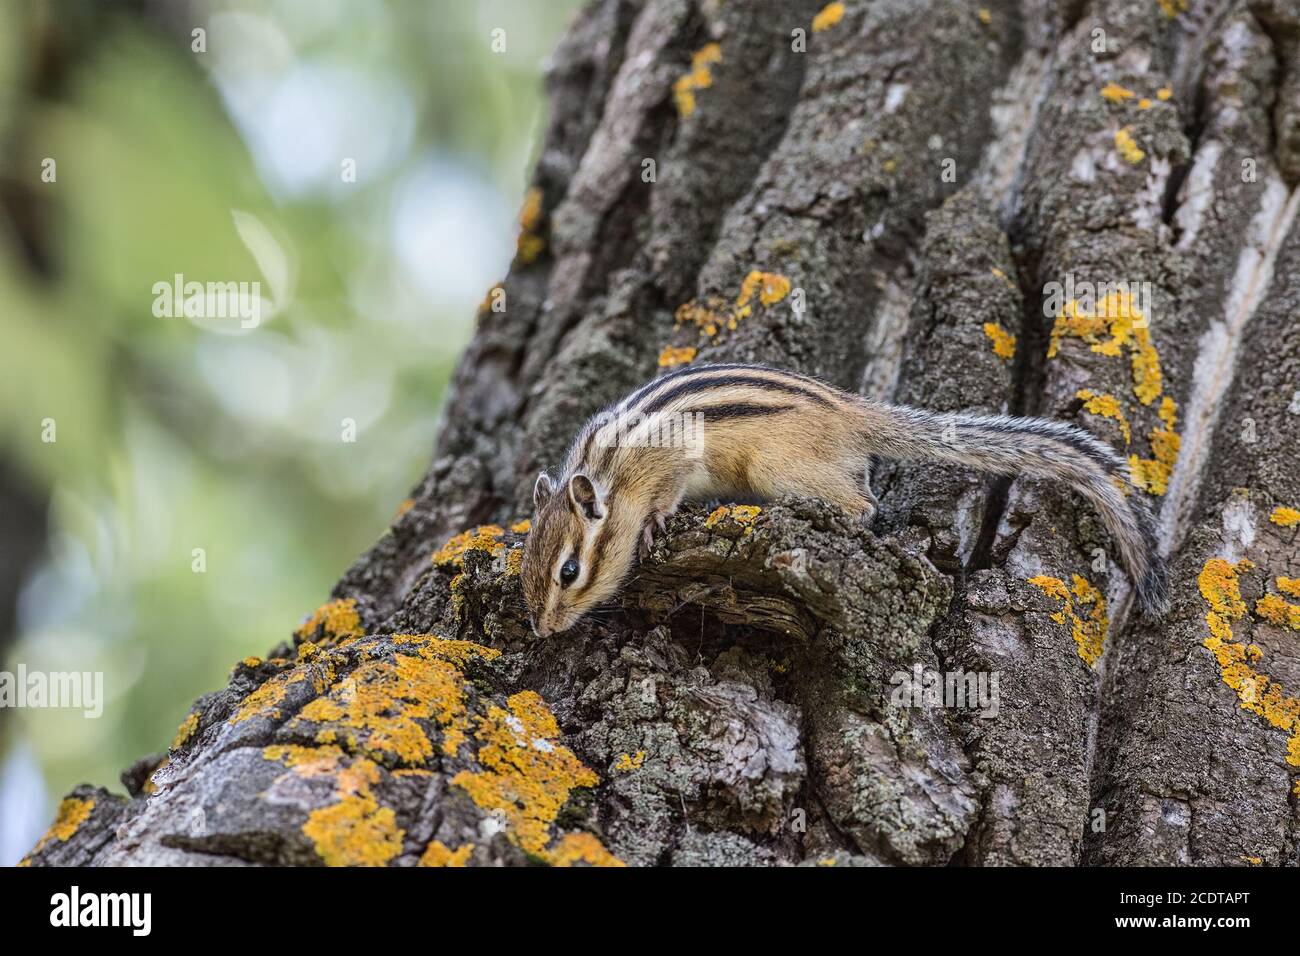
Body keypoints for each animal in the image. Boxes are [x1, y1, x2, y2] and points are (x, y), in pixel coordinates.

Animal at [520, 362, 1168, 637]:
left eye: (569, 571)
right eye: (526, 572)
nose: (543, 631)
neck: (609, 475)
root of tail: (850, 413)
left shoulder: (671, 461)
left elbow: (667, 495)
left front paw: (656, 521)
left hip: (780, 467)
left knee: (863, 506)